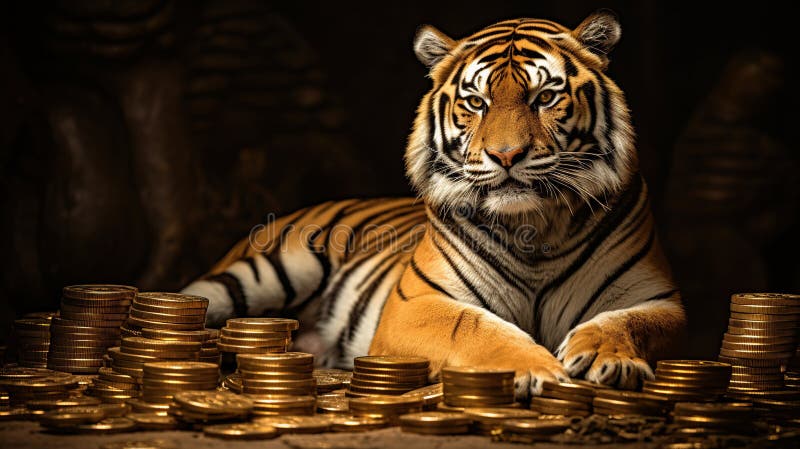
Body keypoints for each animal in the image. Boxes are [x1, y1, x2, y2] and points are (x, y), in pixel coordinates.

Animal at [182, 11, 687, 398]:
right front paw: (535, 367)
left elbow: (626, 323)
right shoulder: (417, 302)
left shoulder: (657, 297)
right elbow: (477, 327)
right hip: (261, 272)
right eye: (477, 102)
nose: (506, 155)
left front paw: (607, 356)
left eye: (544, 97)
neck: (534, 226)